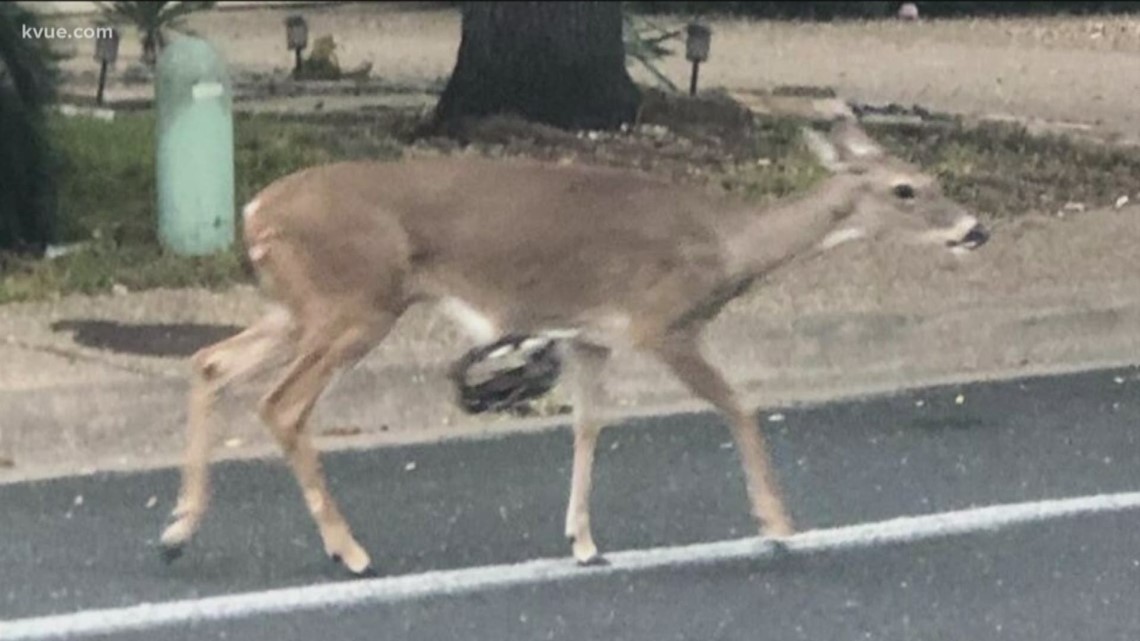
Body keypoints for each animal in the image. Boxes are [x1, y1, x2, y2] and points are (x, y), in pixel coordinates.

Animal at [158, 117, 989, 576]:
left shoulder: (591, 337)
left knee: (211, 361)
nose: (976, 228)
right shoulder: (662, 321)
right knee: (280, 403)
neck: (726, 248)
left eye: (934, 177)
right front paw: (778, 525)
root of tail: (255, 209)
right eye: (907, 190)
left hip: (301, 305)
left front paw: (584, 541)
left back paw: (176, 532)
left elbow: (589, 425)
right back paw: (350, 552)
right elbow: (740, 405)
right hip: (355, 300)